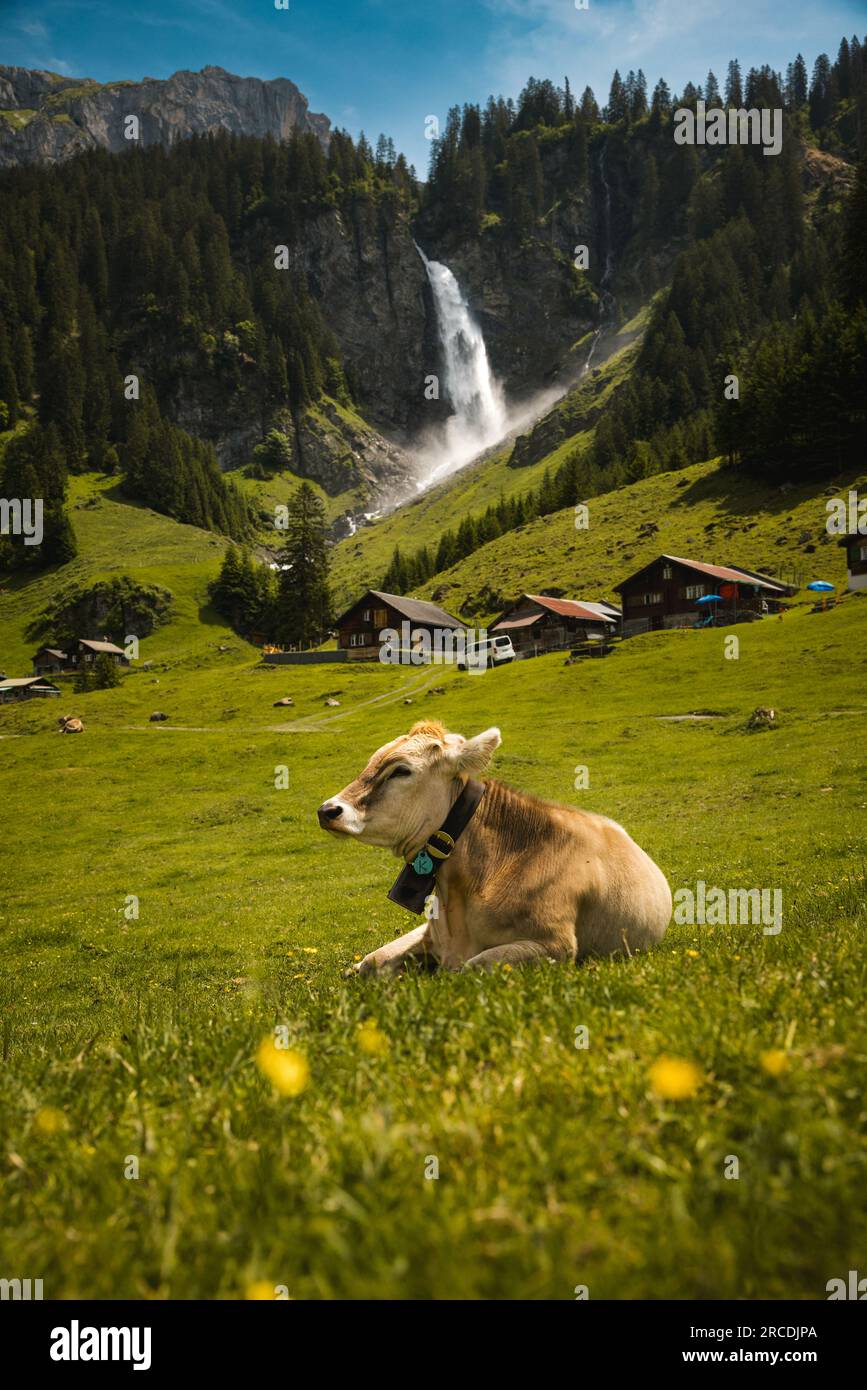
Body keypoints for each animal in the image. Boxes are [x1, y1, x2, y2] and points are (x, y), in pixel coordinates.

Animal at [317, 720, 672, 975]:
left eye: (401, 770)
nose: (327, 810)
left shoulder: (556, 945)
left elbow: (470, 969)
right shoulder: (433, 935)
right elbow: (375, 962)